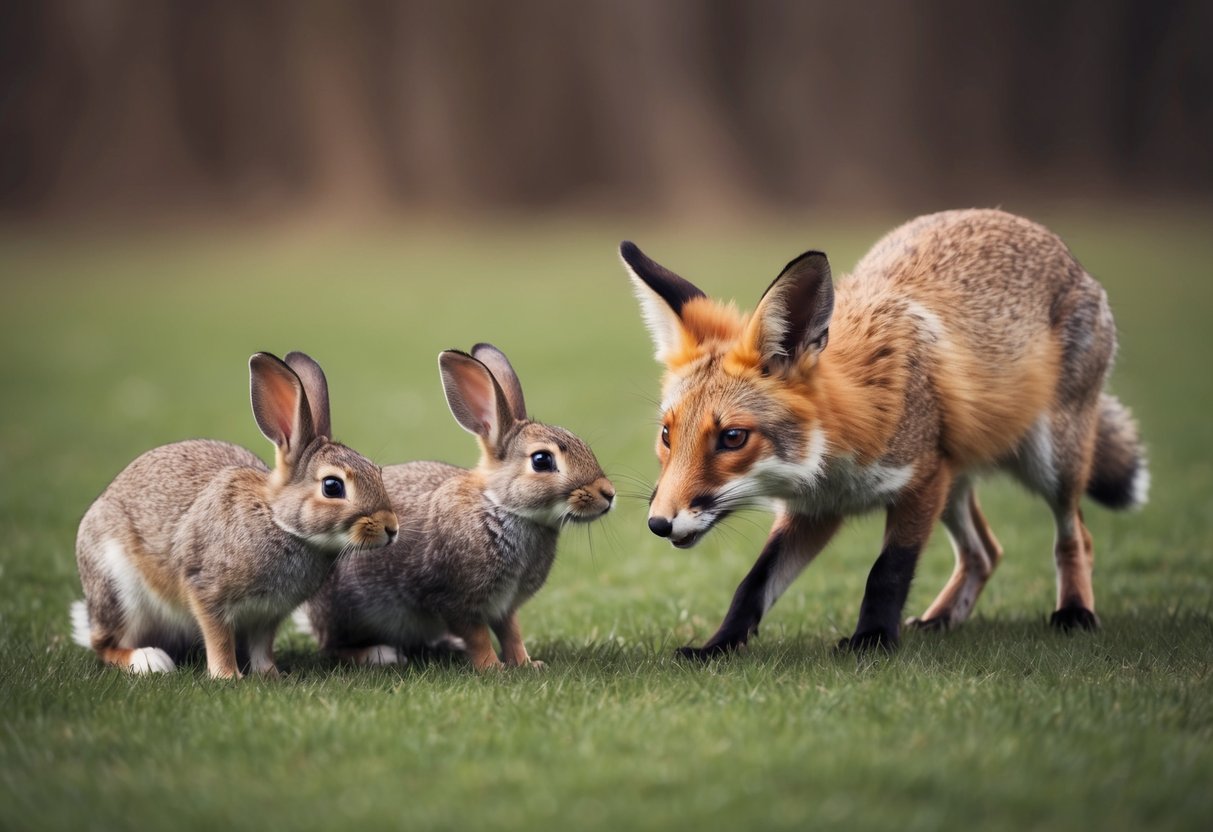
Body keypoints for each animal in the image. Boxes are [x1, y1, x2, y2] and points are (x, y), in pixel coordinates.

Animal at [71, 351, 399, 678]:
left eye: (376, 471)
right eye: (332, 486)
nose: (391, 528)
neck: (278, 521)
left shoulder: (268, 615)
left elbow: (262, 645)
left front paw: (270, 674)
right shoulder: (206, 591)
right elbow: (218, 637)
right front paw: (227, 676)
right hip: (118, 588)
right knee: (104, 644)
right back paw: (149, 660)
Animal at [303, 343, 615, 671]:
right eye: (542, 460)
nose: (608, 494)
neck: (500, 507)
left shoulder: (504, 605)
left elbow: (511, 632)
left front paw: (527, 664)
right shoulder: (454, 600)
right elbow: (477, 636)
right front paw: (493, 669)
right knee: (332, 647)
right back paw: (381, 654)